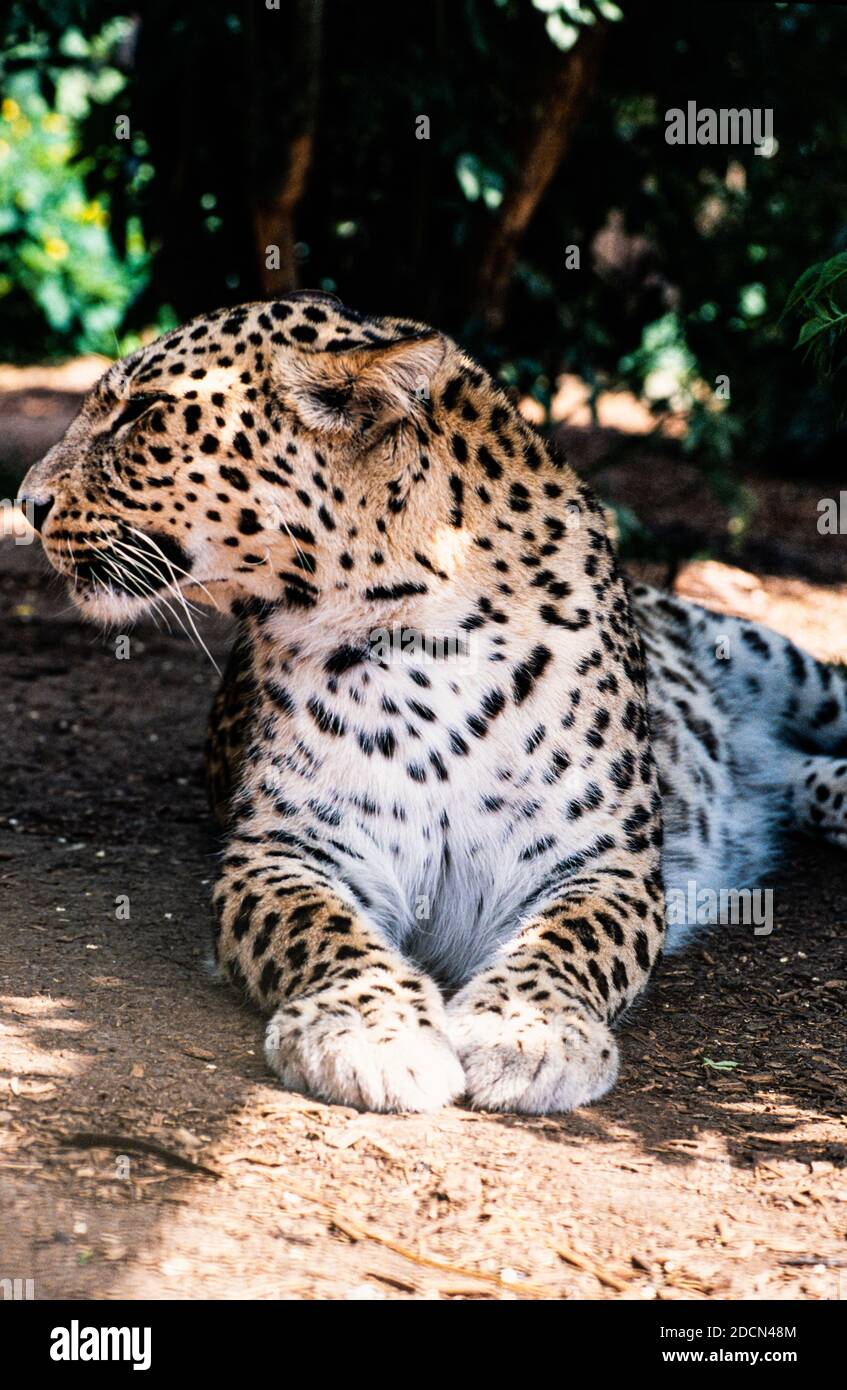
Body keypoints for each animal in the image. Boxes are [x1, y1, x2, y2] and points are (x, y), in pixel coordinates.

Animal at [20, 289, 847, 1115]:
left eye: (142, 412)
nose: (25, 504)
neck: (424, 639)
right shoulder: (289, 851)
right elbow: (324, 931)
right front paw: (370, 1031)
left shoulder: (603, 862)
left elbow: (566, 940)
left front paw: (529, 1034)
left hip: (776, 660)